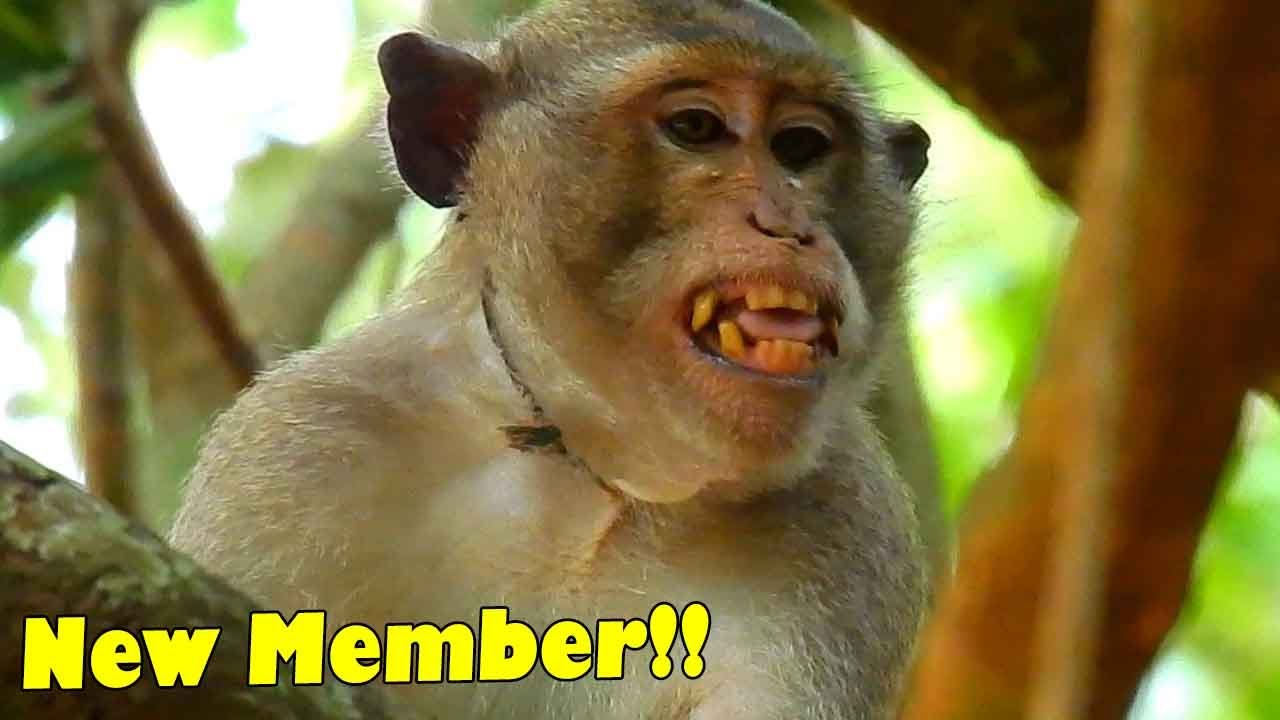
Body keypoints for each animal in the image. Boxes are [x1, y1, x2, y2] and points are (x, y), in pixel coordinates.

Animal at [168, 0, 932, 717]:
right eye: (696, 128)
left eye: (801, 146)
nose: (788, 225)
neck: (587, 470)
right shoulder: (300, 453)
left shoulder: (844, 522)